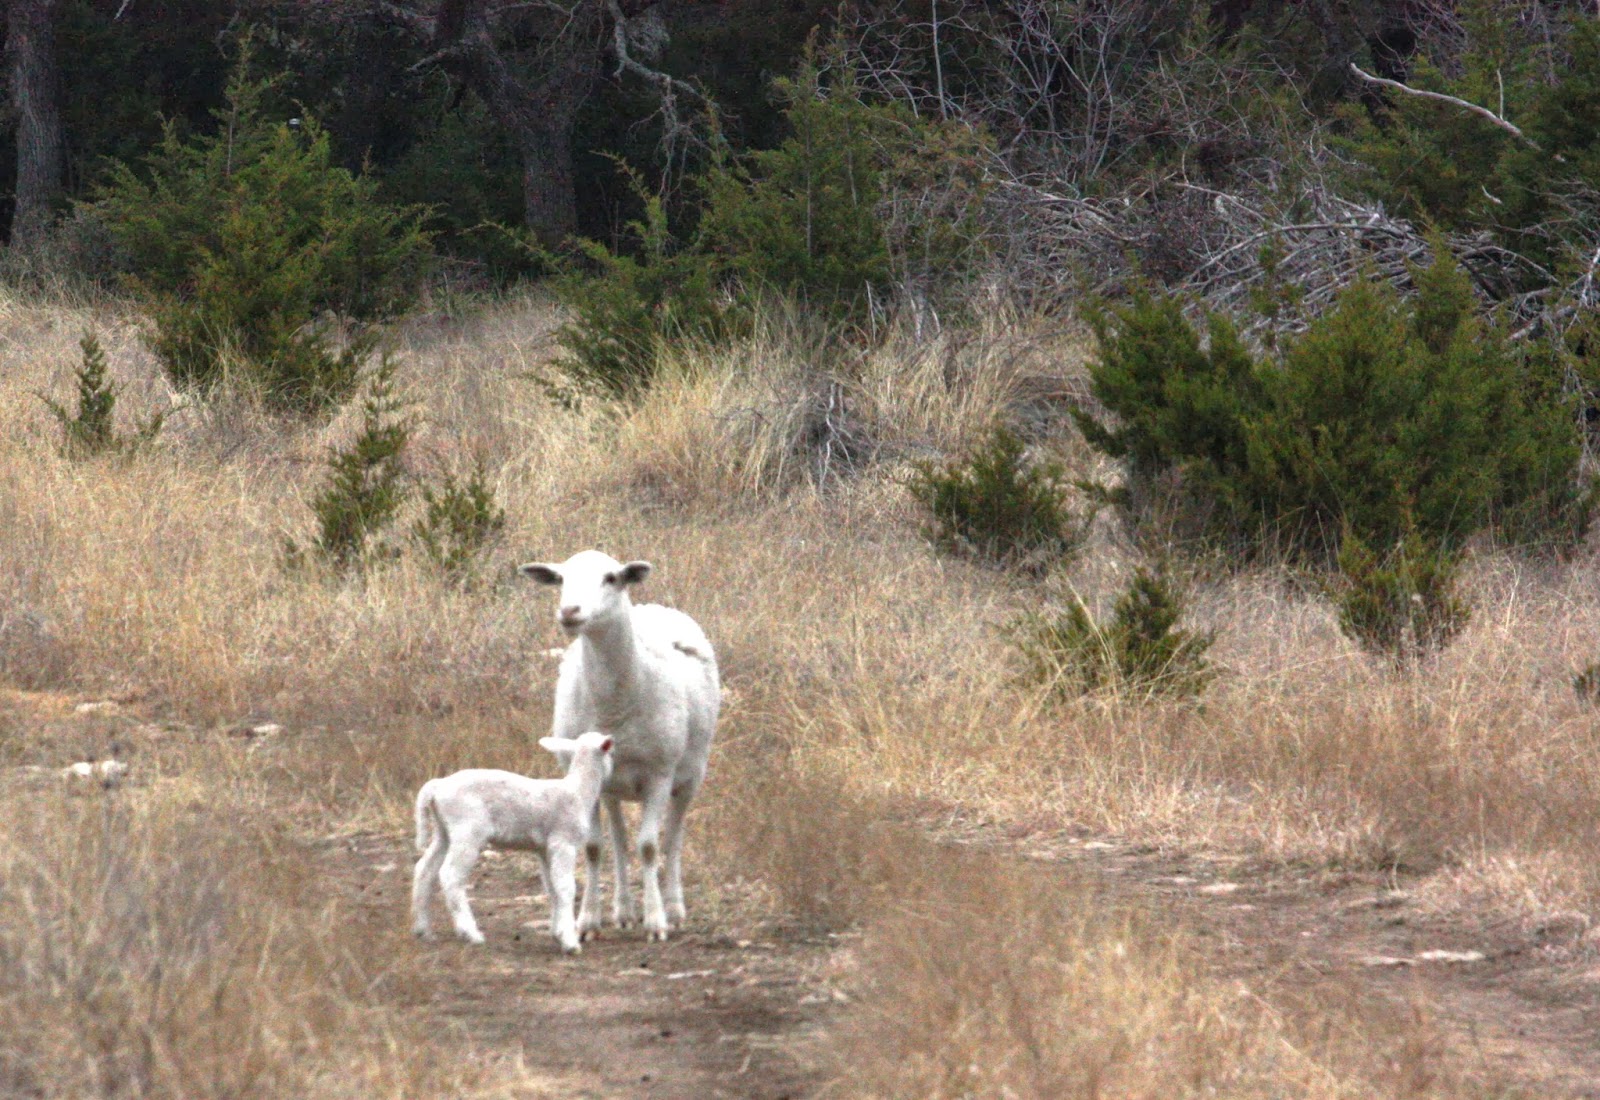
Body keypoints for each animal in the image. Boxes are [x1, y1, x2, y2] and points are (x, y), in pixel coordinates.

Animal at [411, 731, 614, 953]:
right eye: (610, 753)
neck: (578, 792)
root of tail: (437, 786)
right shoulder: (563, 842)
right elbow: (565, 888)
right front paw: (570, 942)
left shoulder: (544, 849)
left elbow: (551, 888)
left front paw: (557, 933)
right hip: (467, 831)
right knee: (450, 875)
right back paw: (470, 933)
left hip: (444, 831)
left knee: (425, 869)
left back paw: (423, 929)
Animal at [519, 550, 720, 942]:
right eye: (561, 579)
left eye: (611, 578)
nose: (569, 611)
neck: (613, 706)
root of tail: (654, 607)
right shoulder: (584, 774)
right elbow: (595, 847)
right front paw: (587, 922)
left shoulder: (659, 773)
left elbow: (650, 847)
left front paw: (656, 922)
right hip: (613, 787)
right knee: (619, 838)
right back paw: (624, 910)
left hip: (692, 772)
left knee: (673, 839)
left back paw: (674, 908)